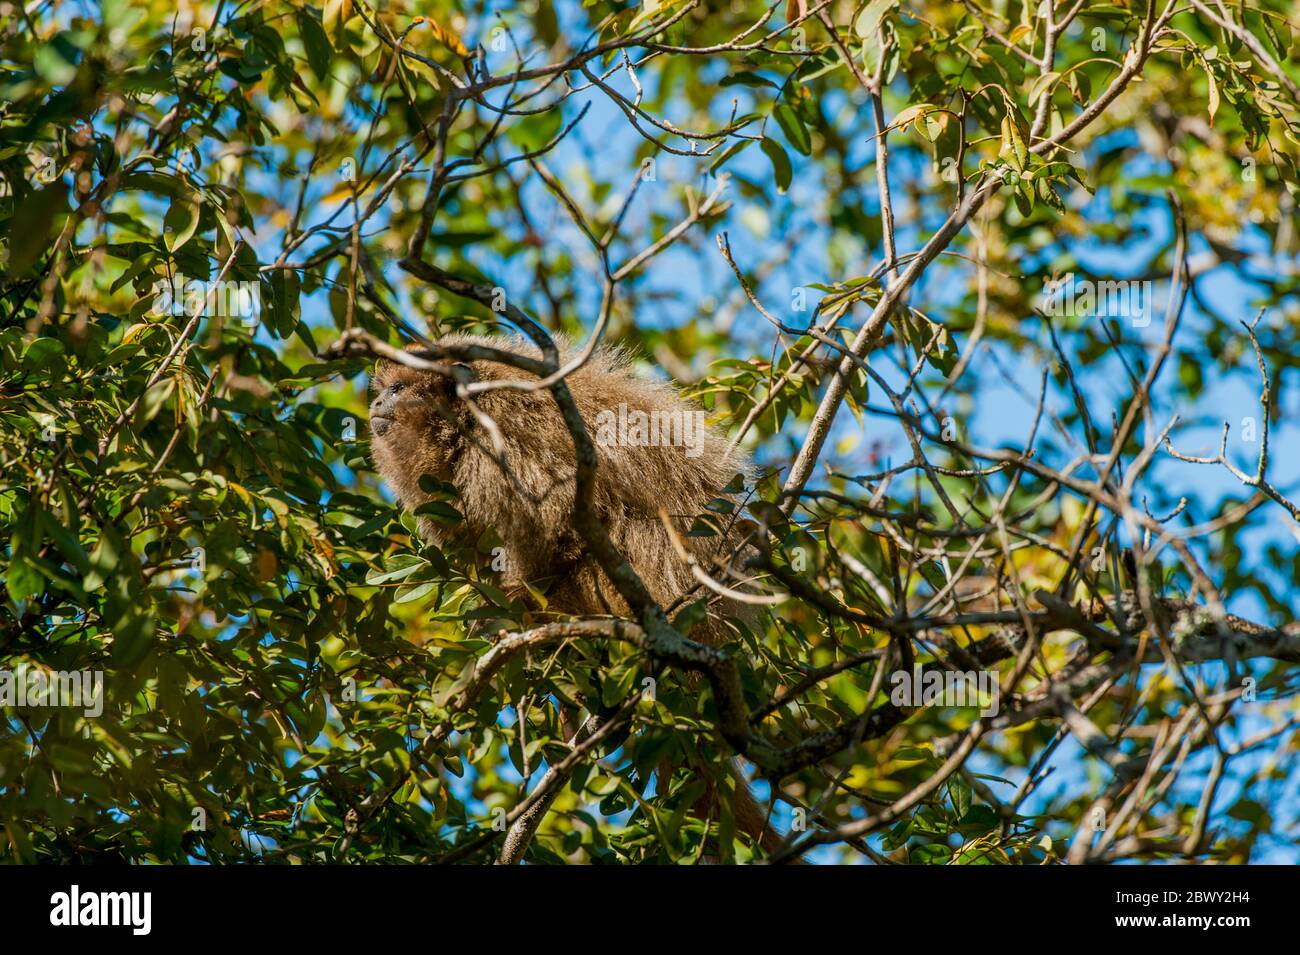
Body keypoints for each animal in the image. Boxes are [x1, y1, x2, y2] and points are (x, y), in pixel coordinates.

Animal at [368, 333, 782, 856]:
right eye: (384, 390)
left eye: (398, 389)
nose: (376, 403)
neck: (461, 423)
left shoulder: (503, 435)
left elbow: (560, 520)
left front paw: (514, 608)